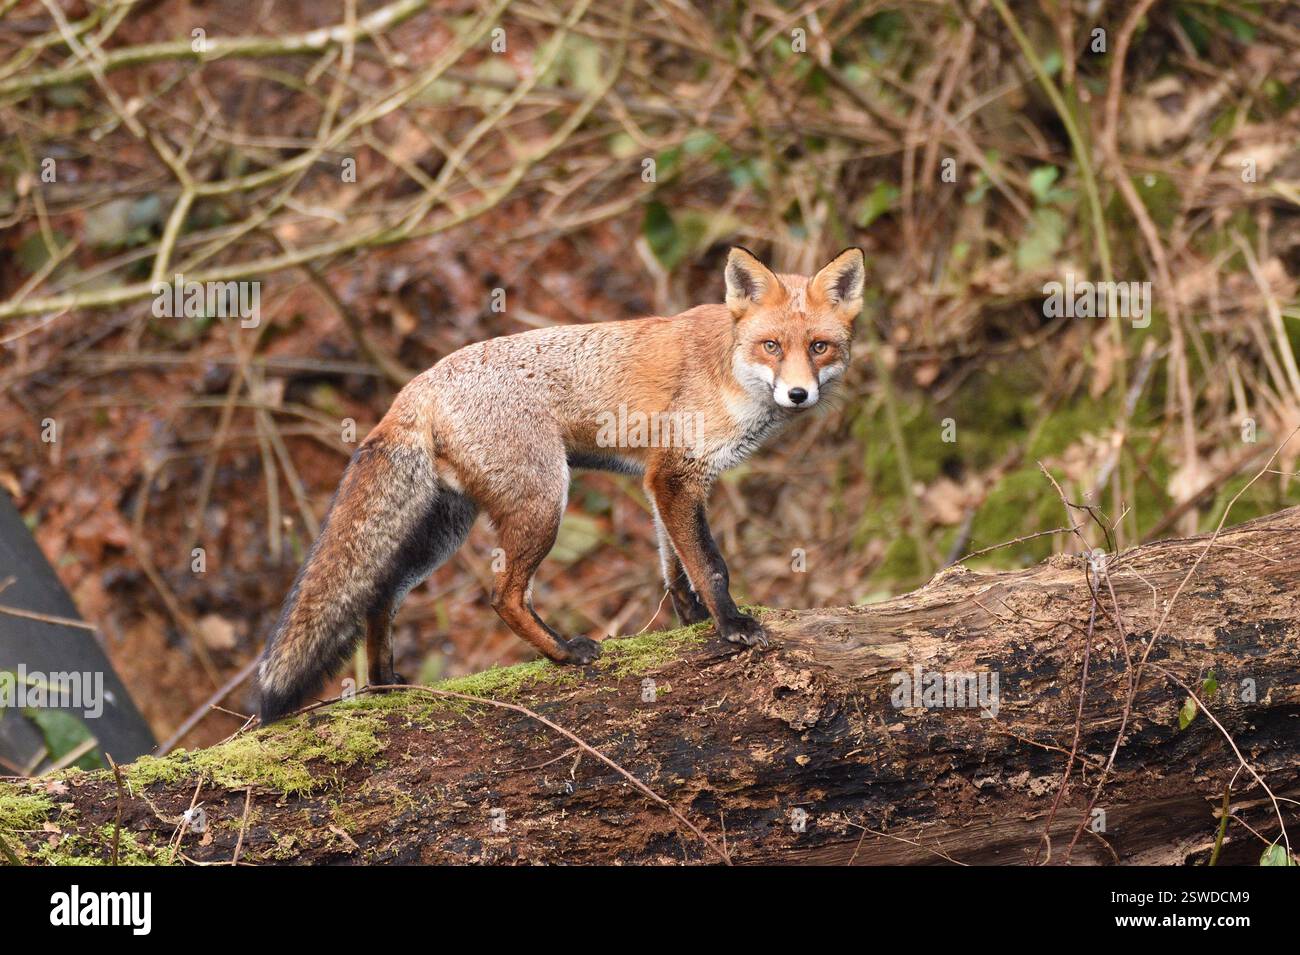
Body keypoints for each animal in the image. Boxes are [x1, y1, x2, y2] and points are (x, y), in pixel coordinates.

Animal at [256, 246, 865, 721]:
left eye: (819, 347)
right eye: (771, 346)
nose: (799, 394)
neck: (728, 370)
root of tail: (418, 384)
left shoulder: (662, 480)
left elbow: (675, 567)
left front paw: (691, 624)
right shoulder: (675, 474)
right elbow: (711, 565)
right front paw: (732, 626)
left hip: (446, 528)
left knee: (380, 593)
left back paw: (385, 683)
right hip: (545, 501)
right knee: (501, 596)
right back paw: (564, 654)